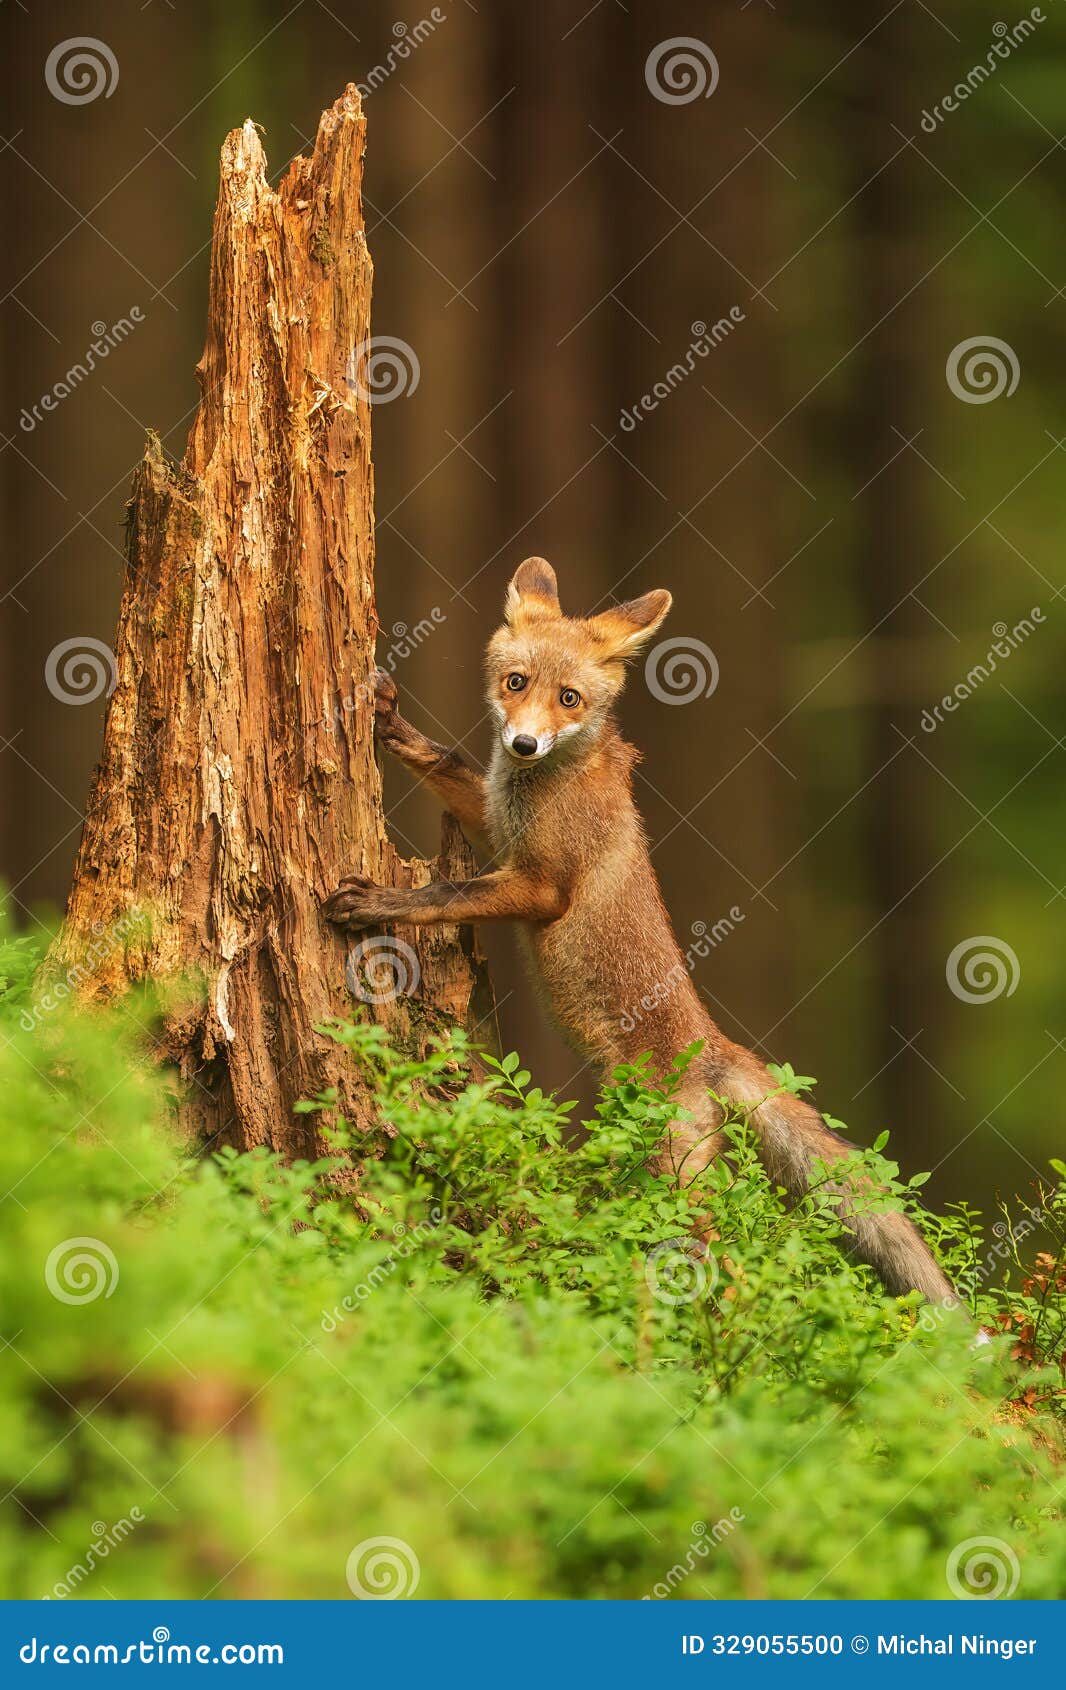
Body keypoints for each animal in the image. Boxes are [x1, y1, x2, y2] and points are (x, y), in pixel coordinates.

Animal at [324, 557, 957, 1306]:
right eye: (517, 683)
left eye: (570, 699)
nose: (523, 742)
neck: (544, 782)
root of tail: (712, 1043)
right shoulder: (495, 830)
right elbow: (448, 761)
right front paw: (391, 720)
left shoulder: (542, 886)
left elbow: (444, 896)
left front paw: (378, 902)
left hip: (673, 1176)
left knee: (727, 1263)